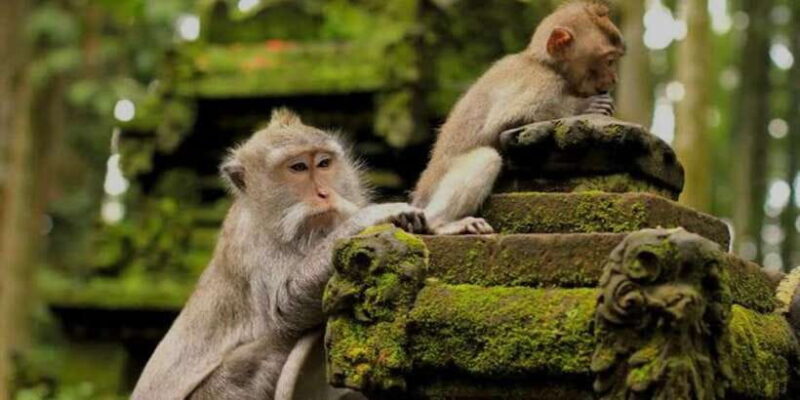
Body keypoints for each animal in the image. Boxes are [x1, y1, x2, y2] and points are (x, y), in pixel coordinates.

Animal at [131, 109, 426, 400]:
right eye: (298, 168)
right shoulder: (254, 244)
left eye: (323, 164)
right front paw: (370, 216)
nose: (324, 193)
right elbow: (284, 308)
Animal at [411, 0, 625, 235]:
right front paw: (584, 106)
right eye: (609, 61)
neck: (544, 63)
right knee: (487, 157)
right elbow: (506, 120)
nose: (614, 79)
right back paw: (440, 224)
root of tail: (420, 197)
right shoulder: (540, 82)